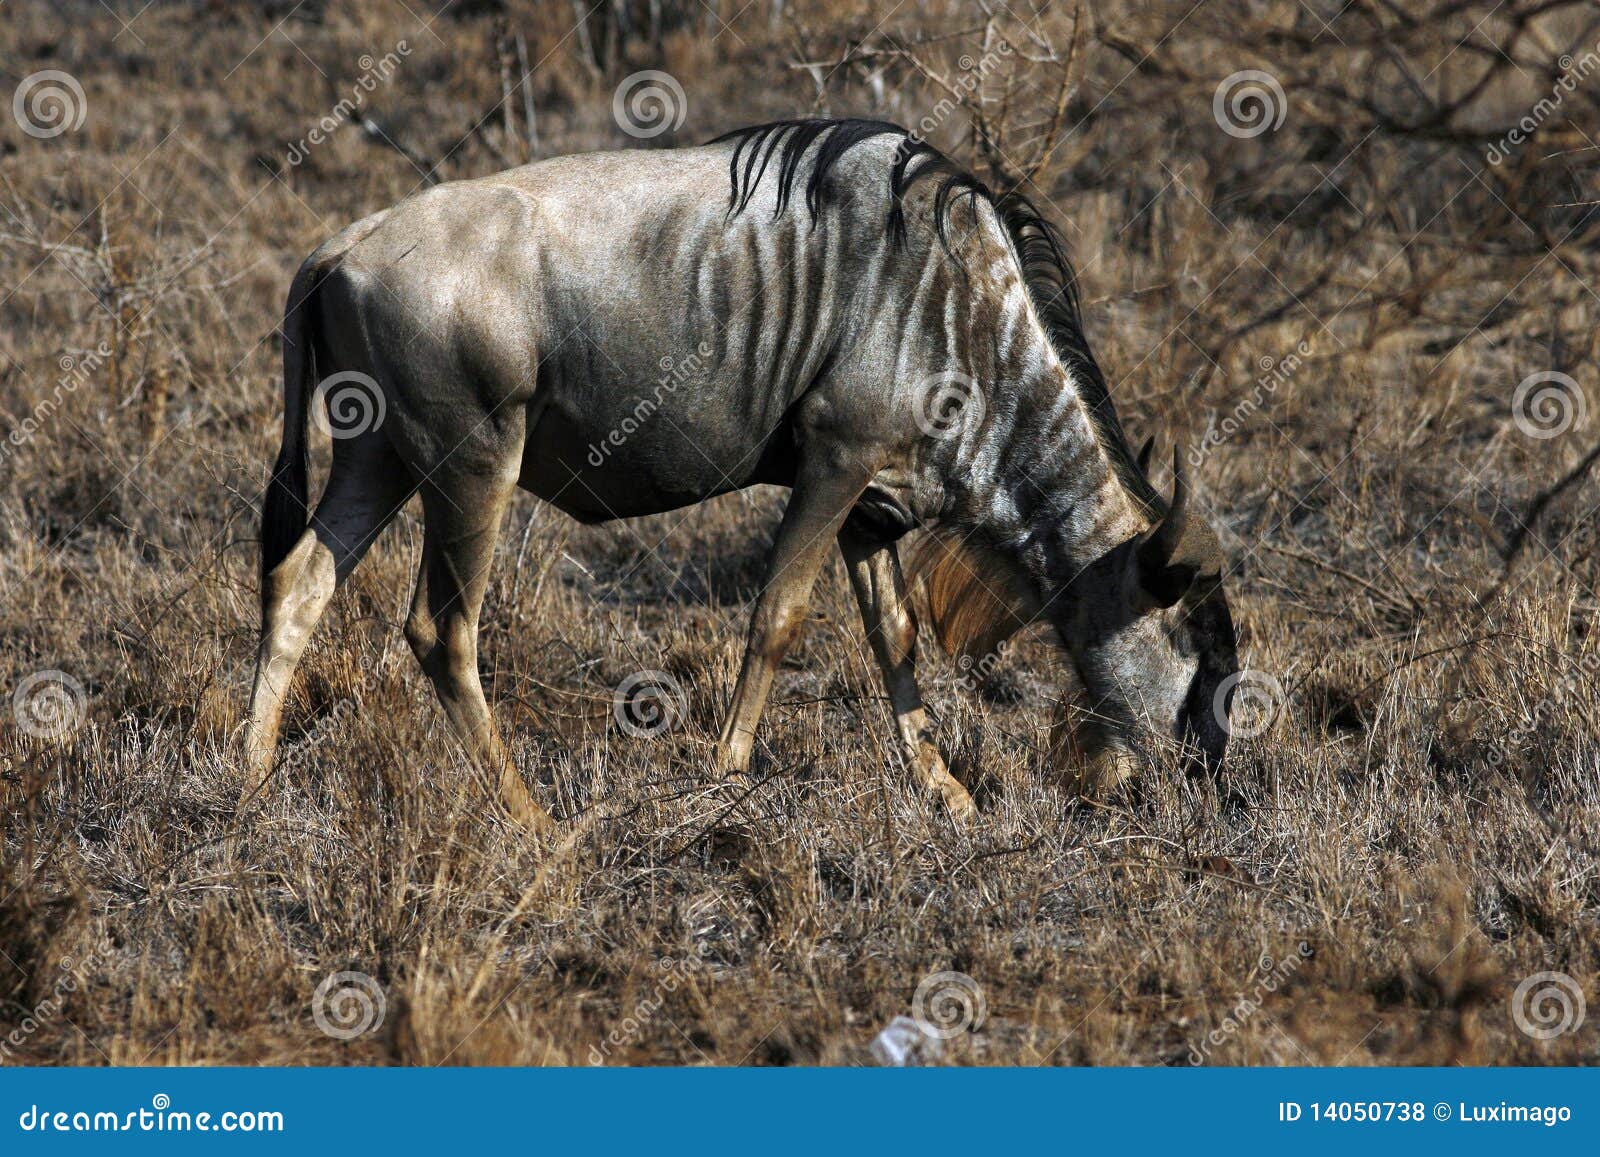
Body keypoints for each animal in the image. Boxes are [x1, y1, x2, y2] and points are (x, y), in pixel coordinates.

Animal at [243, 118, 1239, 831]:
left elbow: (895, 637)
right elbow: (777, 617)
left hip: (378, 460)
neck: (962, 311)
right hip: (473, 465)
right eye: (1199, 662)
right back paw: (529, 818)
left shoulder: (874, 508)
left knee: (299, 583)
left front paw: (946, 792)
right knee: (441, 629)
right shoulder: (835, 462)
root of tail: (344, 245)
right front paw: (724, 775)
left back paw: (247, 778)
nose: (1195, 799)